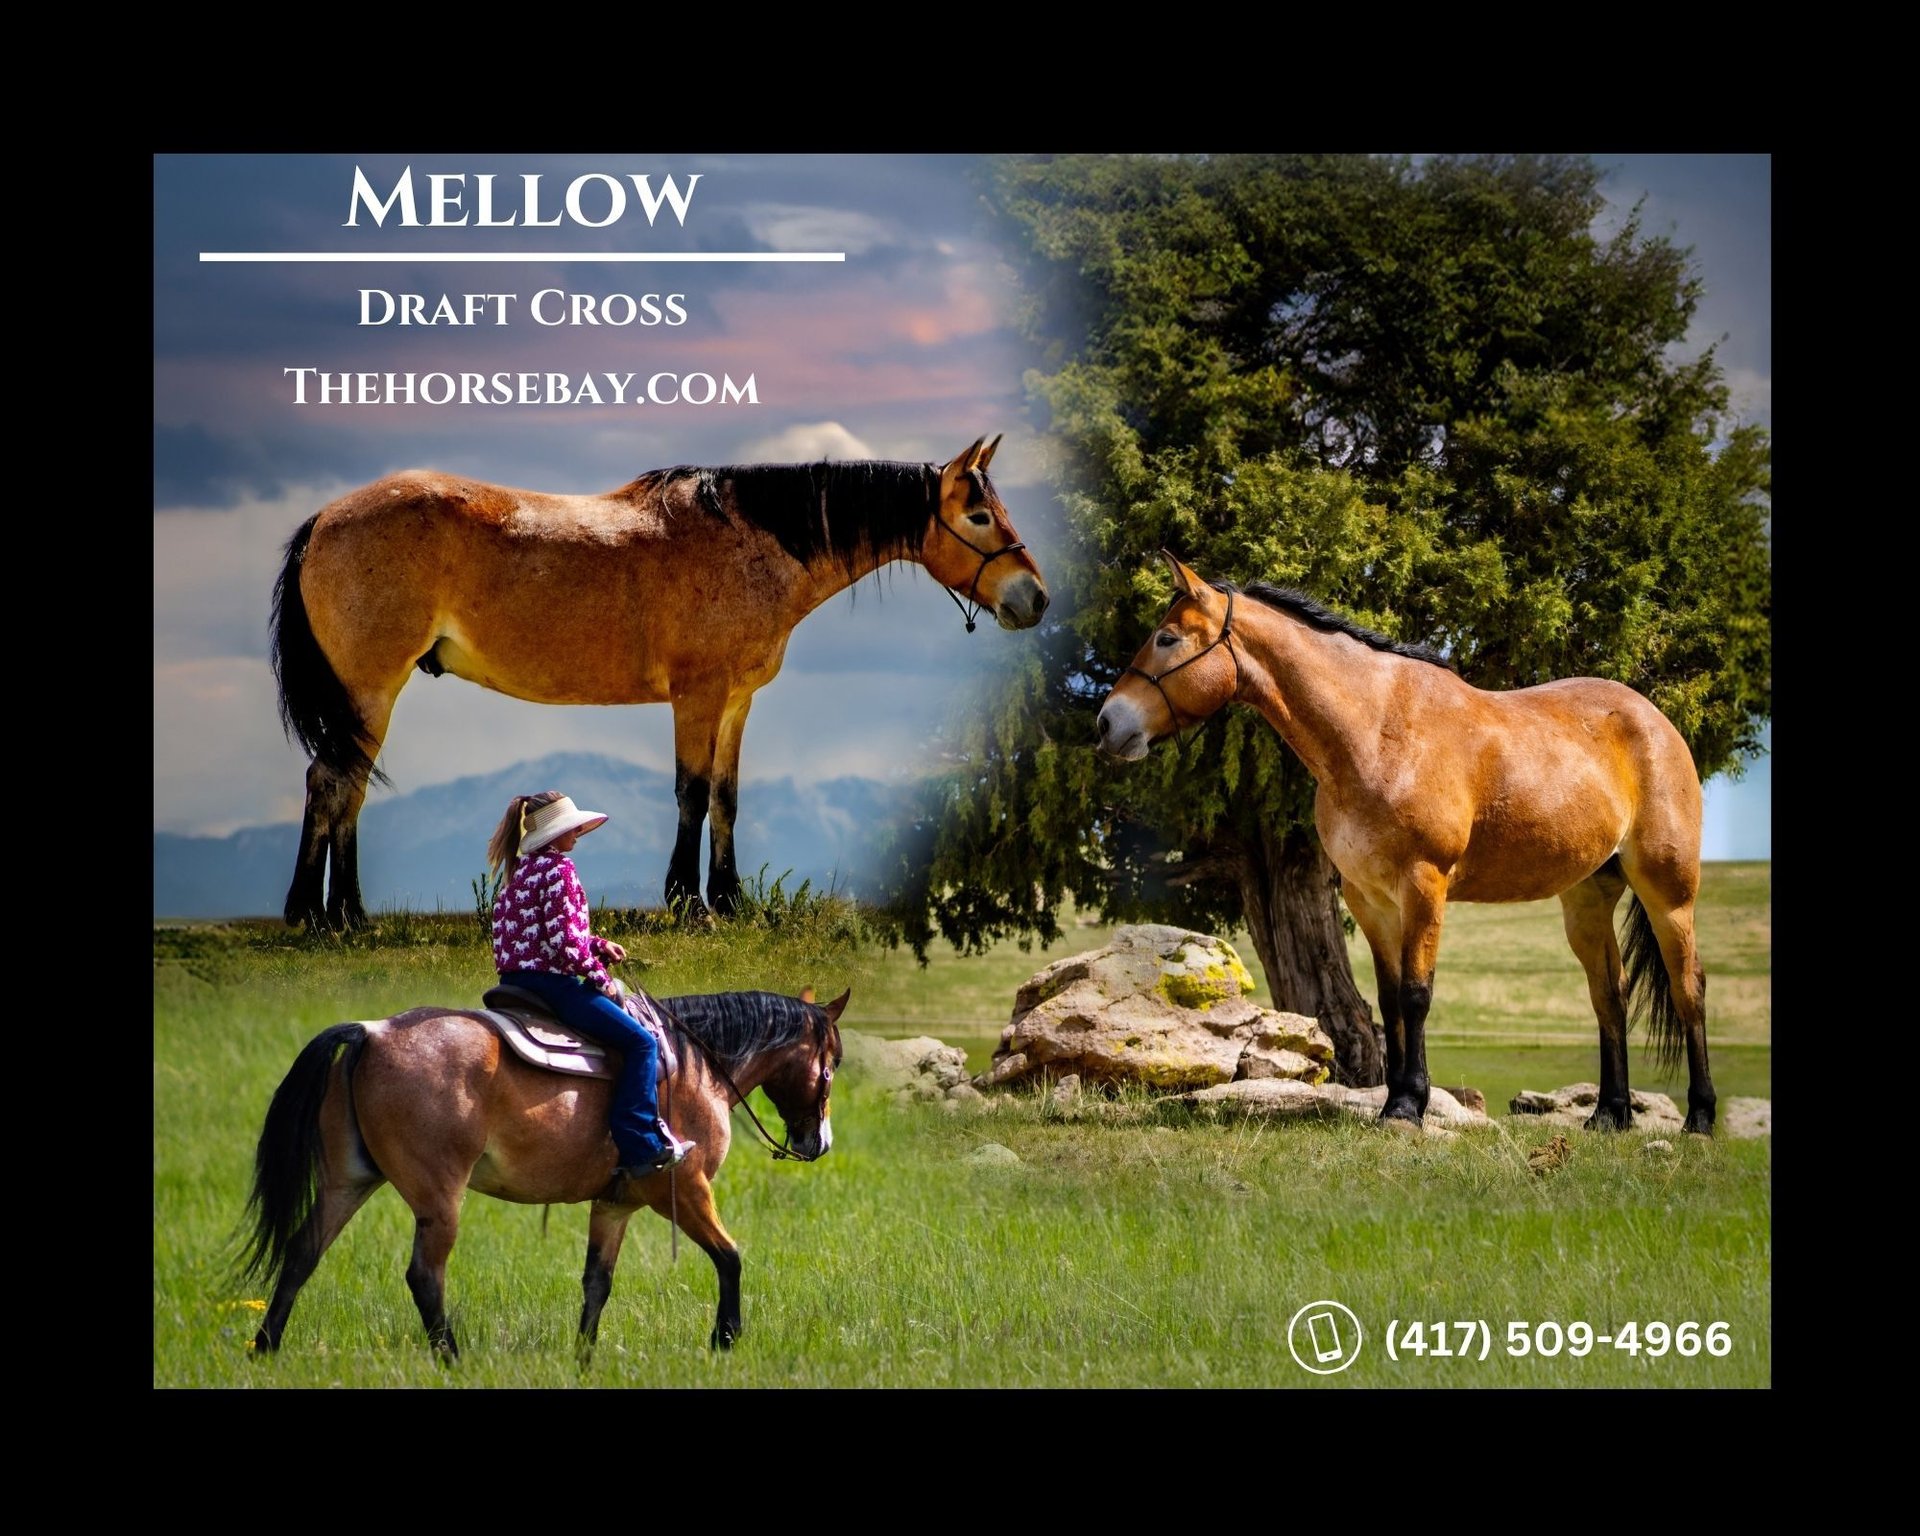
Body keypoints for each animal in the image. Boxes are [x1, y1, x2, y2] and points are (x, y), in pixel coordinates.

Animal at [238, 987, 846, 1359]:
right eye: (833, 1062)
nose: (817, 1142)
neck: (693, 1066)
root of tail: (373, 1032)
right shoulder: (685, 1188)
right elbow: (730, 1257)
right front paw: (725, 1338)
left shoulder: (615, 1204)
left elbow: (597, 1283)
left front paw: (585, 1357)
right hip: (439, 1198)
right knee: (424, 1276)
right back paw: (452, 1359)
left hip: (348, 1183)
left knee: (301, 1253)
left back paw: (265, 1348)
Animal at [271, 436, 1048, 930]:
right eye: (979, 515)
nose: (1035, 599)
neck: (750, 542)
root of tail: (325, 519)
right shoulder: (696, 696)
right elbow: (692, 793)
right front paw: (688, 902)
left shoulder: (736, 701)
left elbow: (727, 798)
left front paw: (731, 901)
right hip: (371, 687)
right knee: (335, 782)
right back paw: (324, 915)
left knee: (342, 785)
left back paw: (336, 912)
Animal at [1096, 553, 1714, 1136]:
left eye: (1167, 638)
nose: (1107, 724)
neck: (1376, 732)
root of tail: (1655, 720)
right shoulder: (1369, 898)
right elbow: (1392, 998)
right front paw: (1394, 1099)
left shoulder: (1423, 885)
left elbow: (1417, 993)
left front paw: (1407, 1108)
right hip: (1587, 897)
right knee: (1609, 993)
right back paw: (1610, 1115)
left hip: (1668, 891)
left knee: (1688, 988)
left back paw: (1700, 1119)